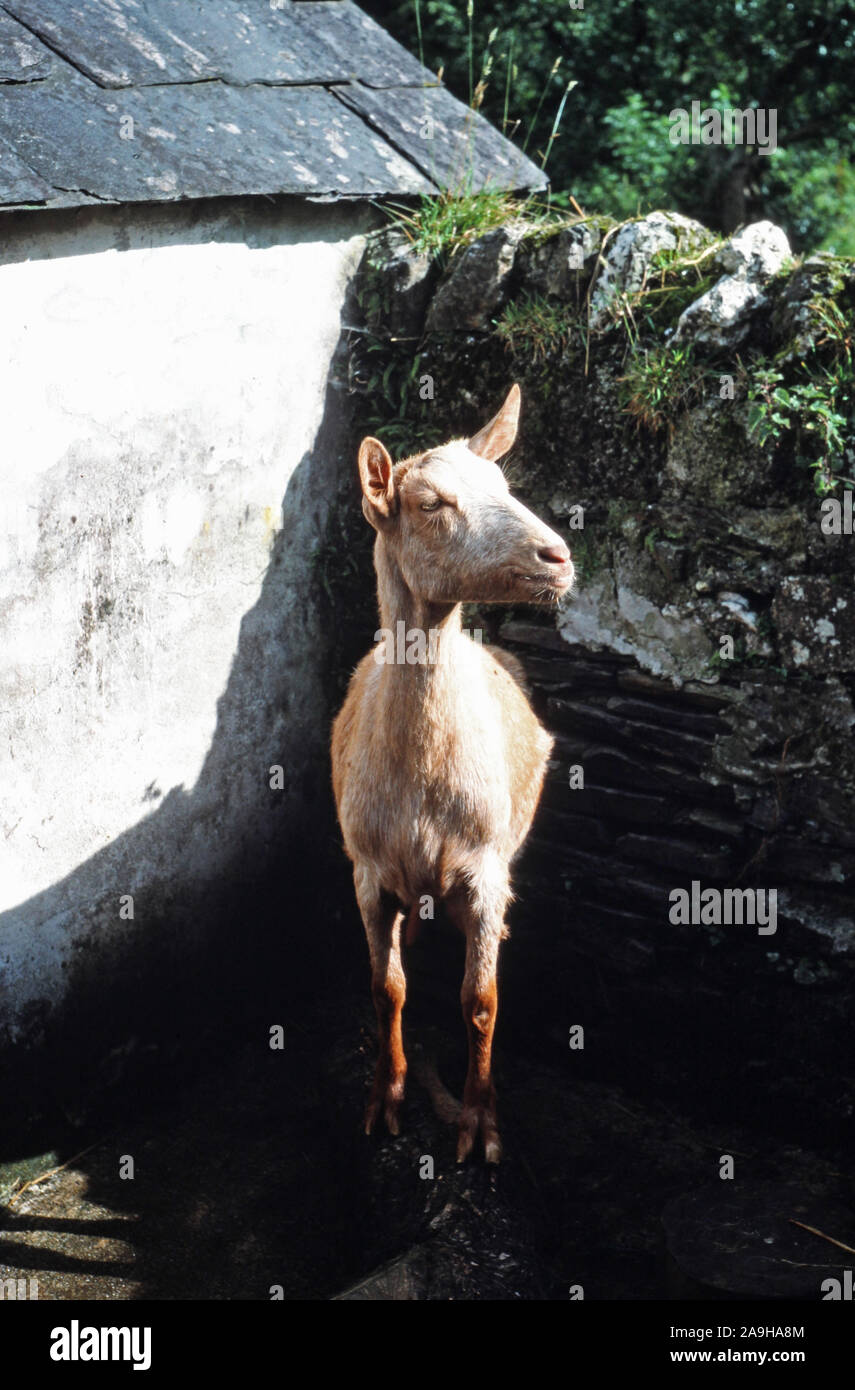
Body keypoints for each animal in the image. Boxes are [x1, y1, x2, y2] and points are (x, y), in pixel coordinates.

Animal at [331, 384, 573, 1162]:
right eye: (432, 502)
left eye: (503, 483)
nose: (558, 557)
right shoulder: (367, 871)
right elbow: (386, 988)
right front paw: (385, 1098)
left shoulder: (486, 870)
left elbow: (480, 1003)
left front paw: (478, 1124)